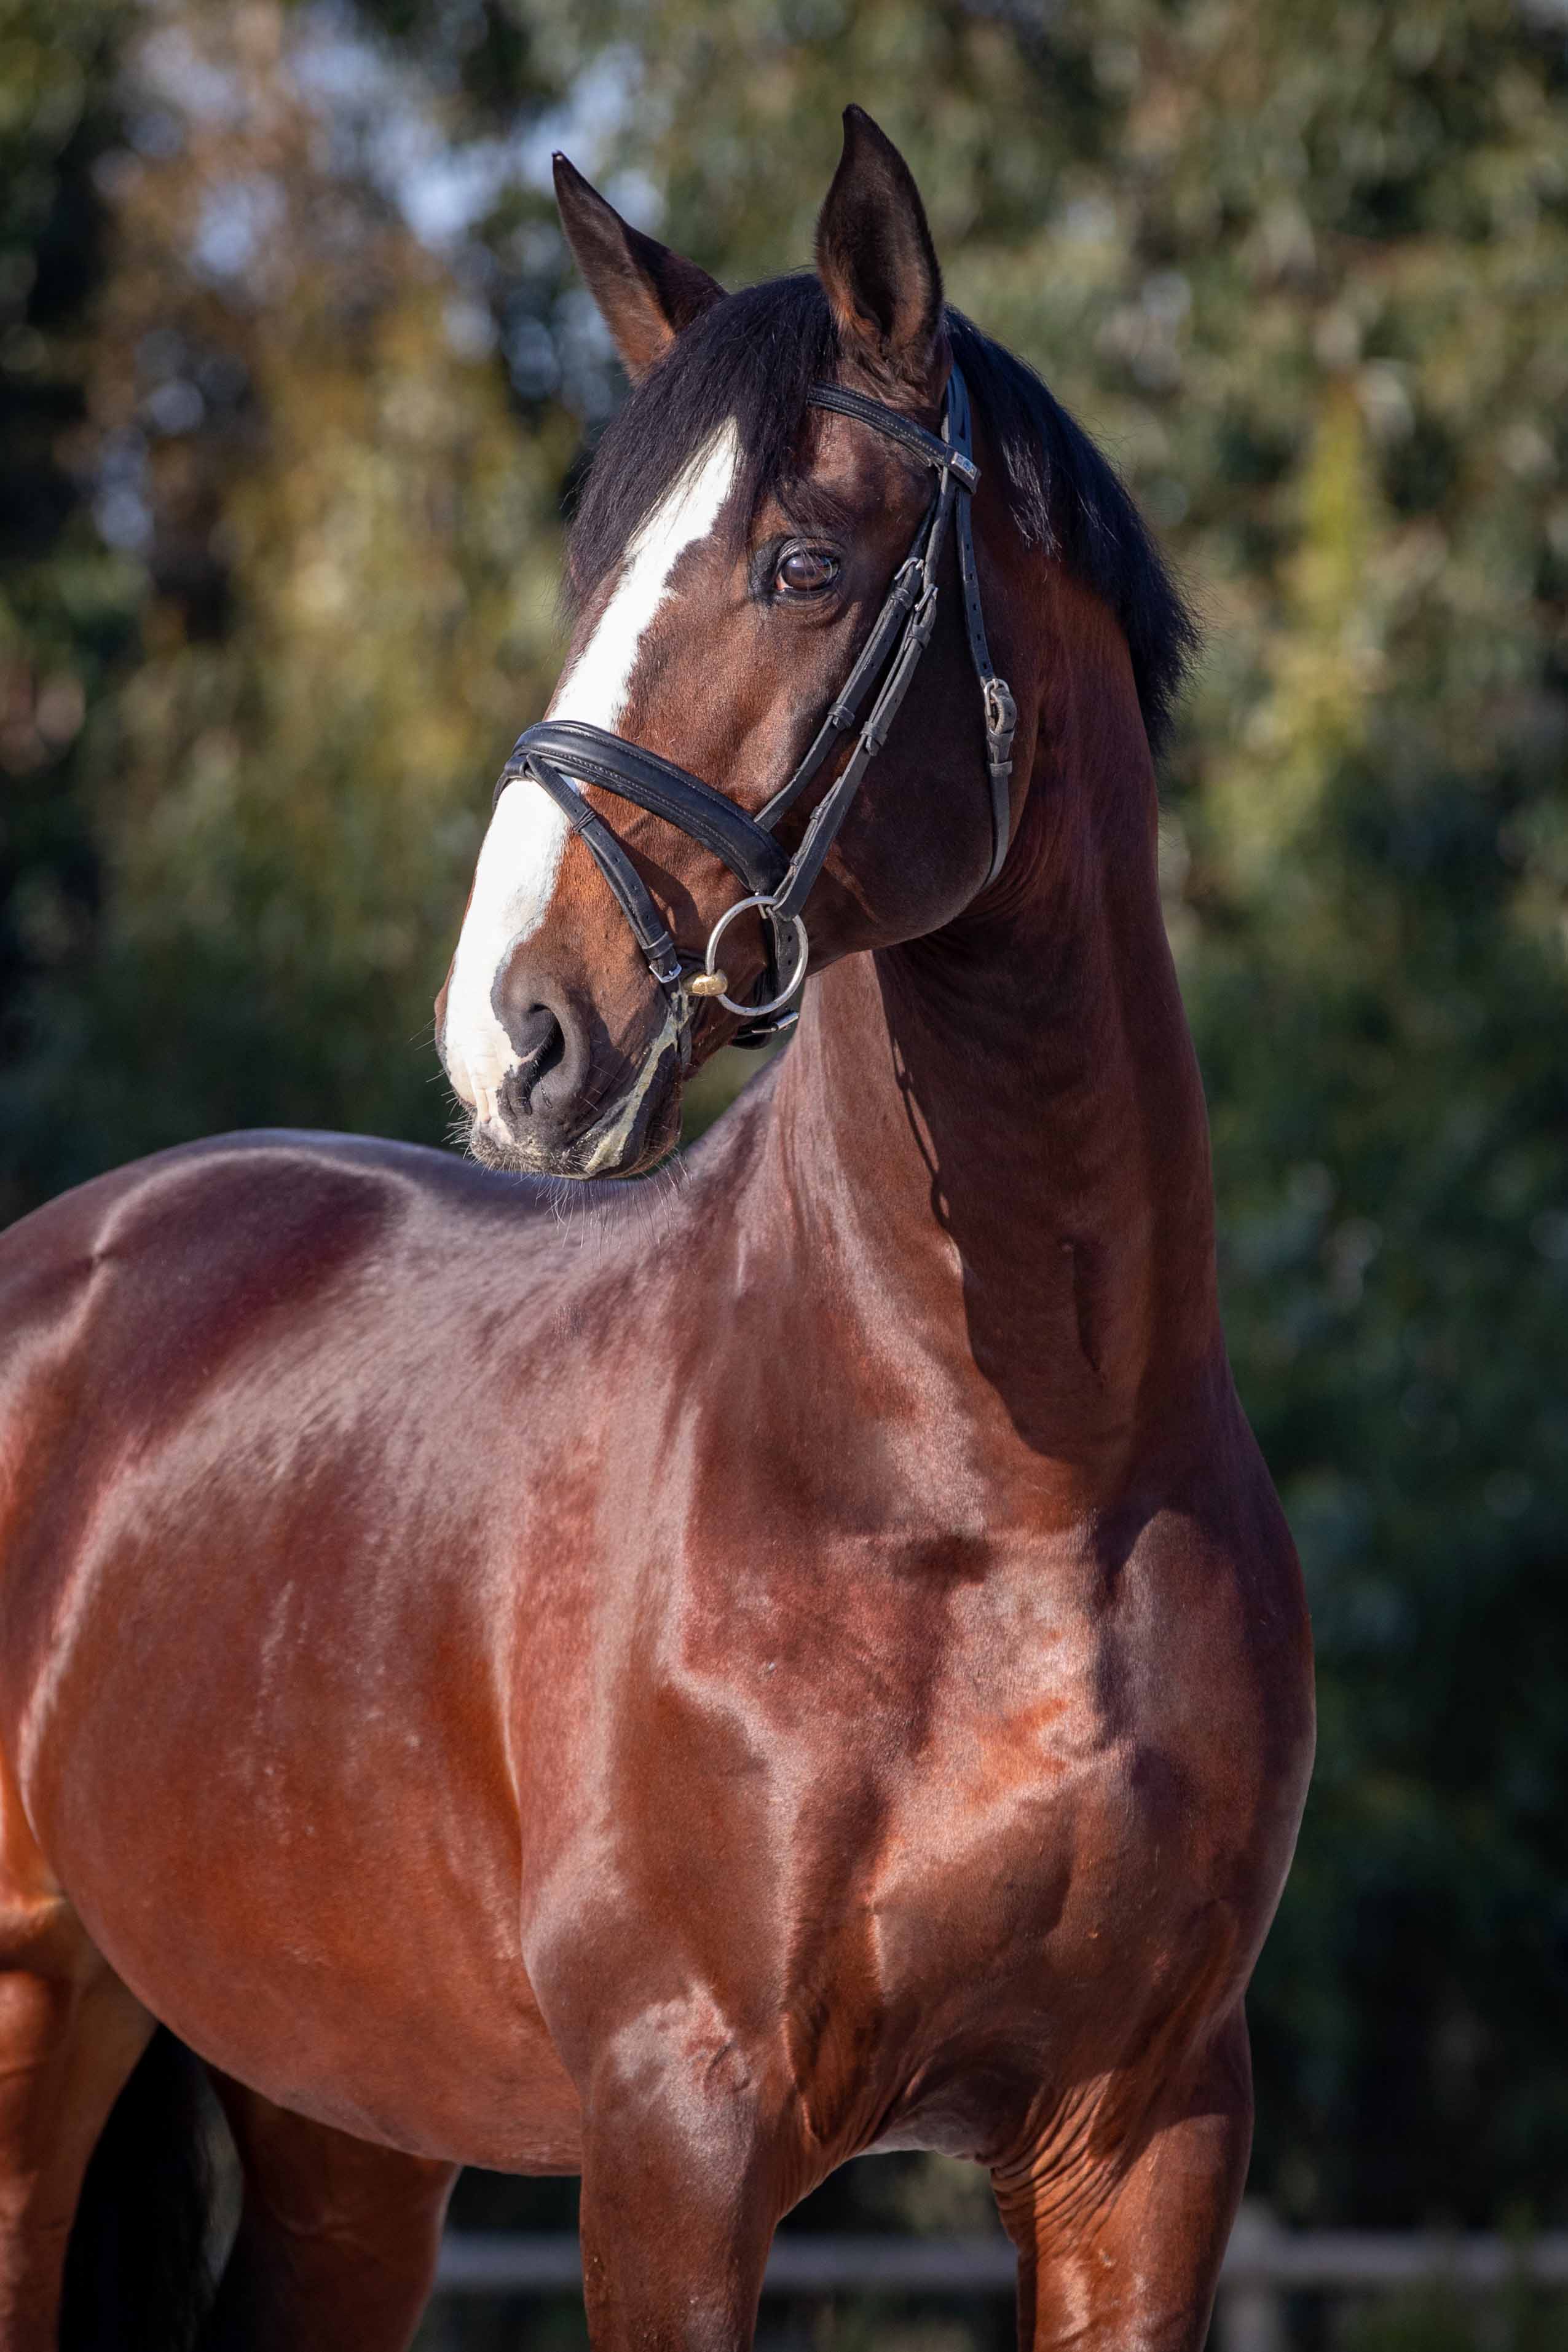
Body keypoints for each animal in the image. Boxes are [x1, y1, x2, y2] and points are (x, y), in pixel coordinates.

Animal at [0, 106, 1313, 2352]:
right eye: (594, 572)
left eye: (801, 565)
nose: (510, 1030)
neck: (1010, 1481)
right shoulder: (679, 2139)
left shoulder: (1144, 2141)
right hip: (29, 2033)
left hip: (344, 2122)